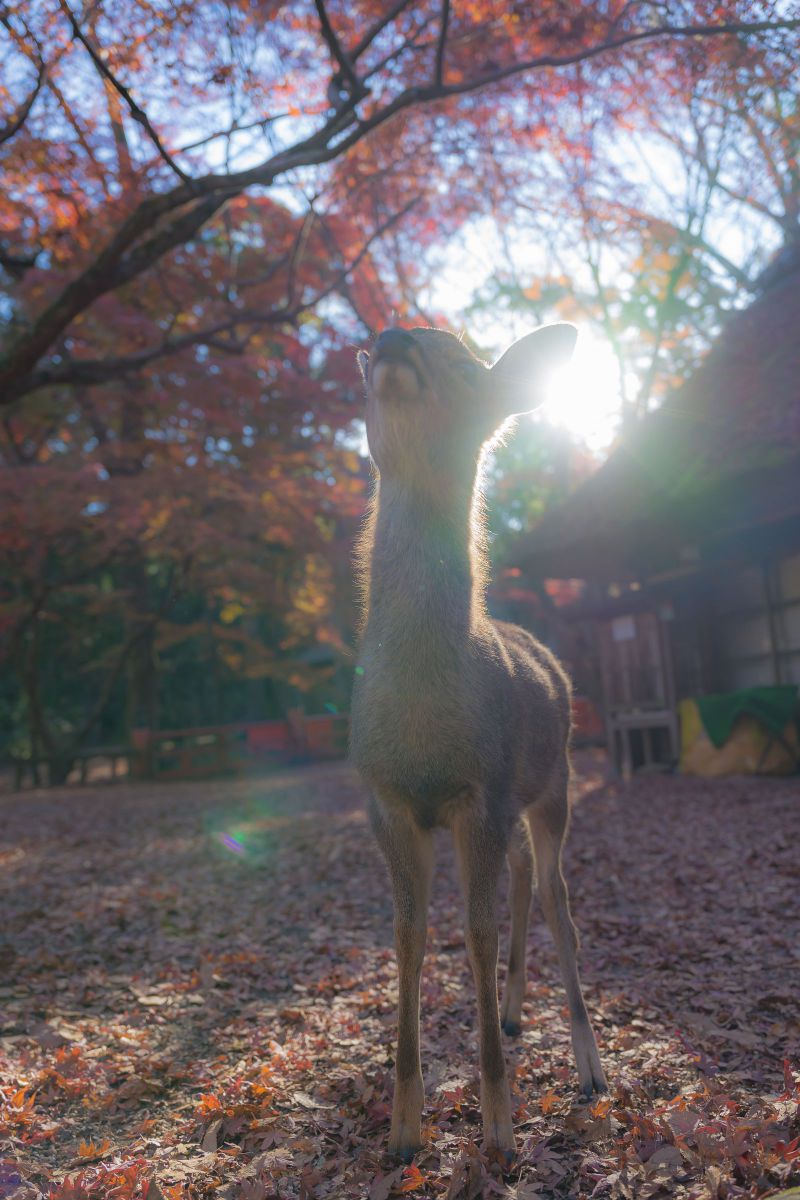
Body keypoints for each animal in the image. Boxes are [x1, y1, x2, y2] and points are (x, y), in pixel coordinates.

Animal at [349, 323, 606, 1161]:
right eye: (367, 362)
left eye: (463, 362)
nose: (390, 336)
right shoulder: (384, 798)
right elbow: (409, 935)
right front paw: (403, 1128)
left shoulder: (481, 792)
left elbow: (477, 933)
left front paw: (498, 1126)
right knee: (527, 876)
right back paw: (517, 1013)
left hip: (555, 783)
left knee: (558, 896)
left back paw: (589, 1065)